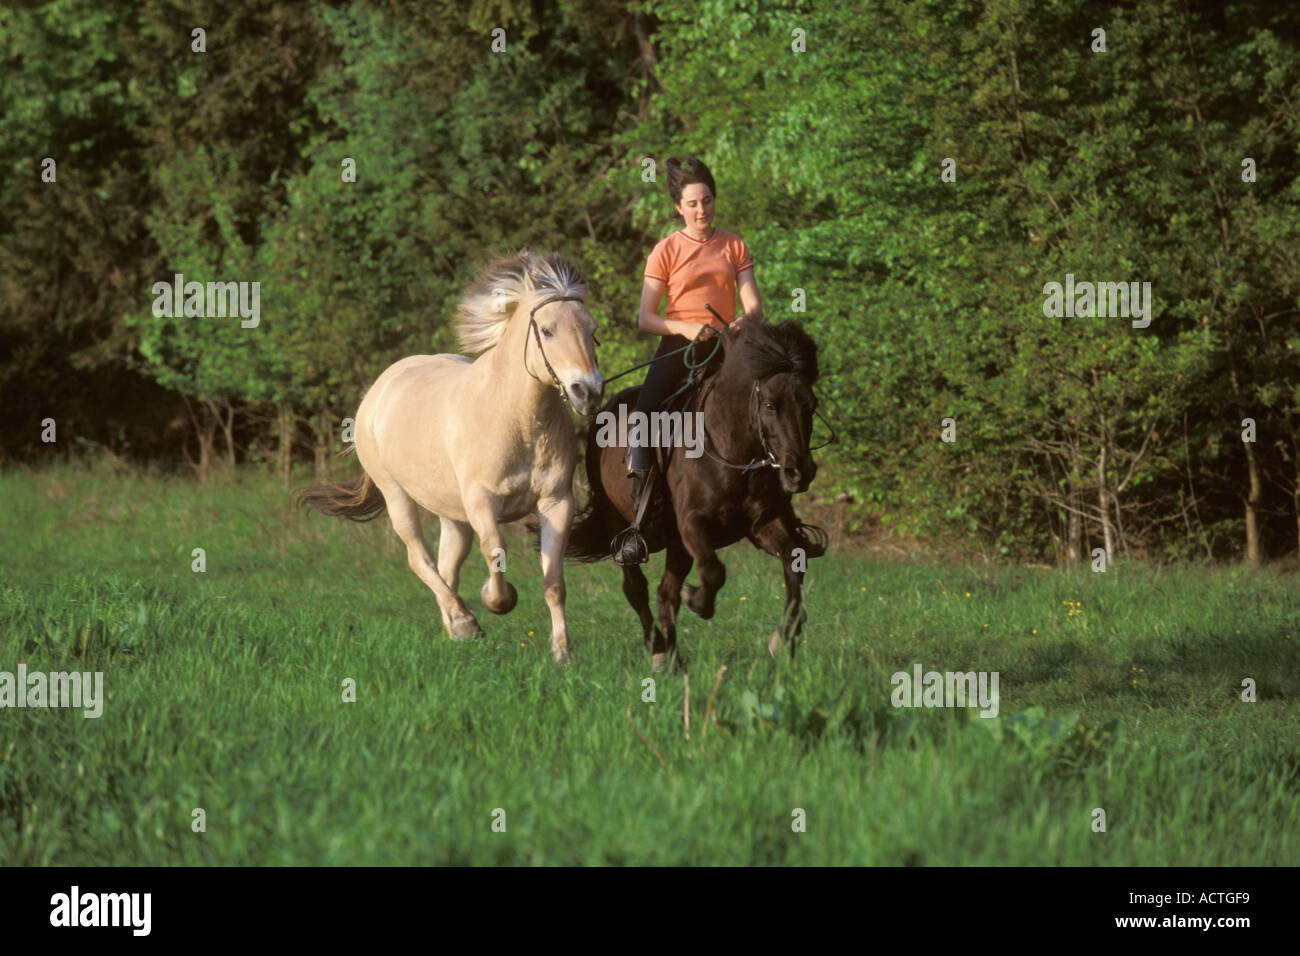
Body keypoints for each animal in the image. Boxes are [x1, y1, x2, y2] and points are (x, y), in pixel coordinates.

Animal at [296, 251, 603, 665]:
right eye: (548, 330)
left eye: (591, 330)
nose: (588, 392)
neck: (518, 420)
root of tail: (378, 391)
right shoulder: (481, 502)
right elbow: (495, 550)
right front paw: (496, 601)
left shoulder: (557, 502)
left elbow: (554, 581)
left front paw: (562, 653)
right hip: (397, 497)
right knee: (420, 560)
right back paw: (465, 623)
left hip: (451, 515)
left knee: (446, 567)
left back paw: (455, 628)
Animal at [566, 313, 823, 670]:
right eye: (770, 405)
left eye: (811, 405)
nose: (799, 473)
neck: (731, 451)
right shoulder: (692, 524)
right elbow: (714, 572)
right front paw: (698, 601)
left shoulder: (764, 524)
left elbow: (794, 562)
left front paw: (783, 639)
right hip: (618, 522)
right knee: (637, 589)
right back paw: (659, 651)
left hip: (676, 545)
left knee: (665, 593)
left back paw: (674, 659)